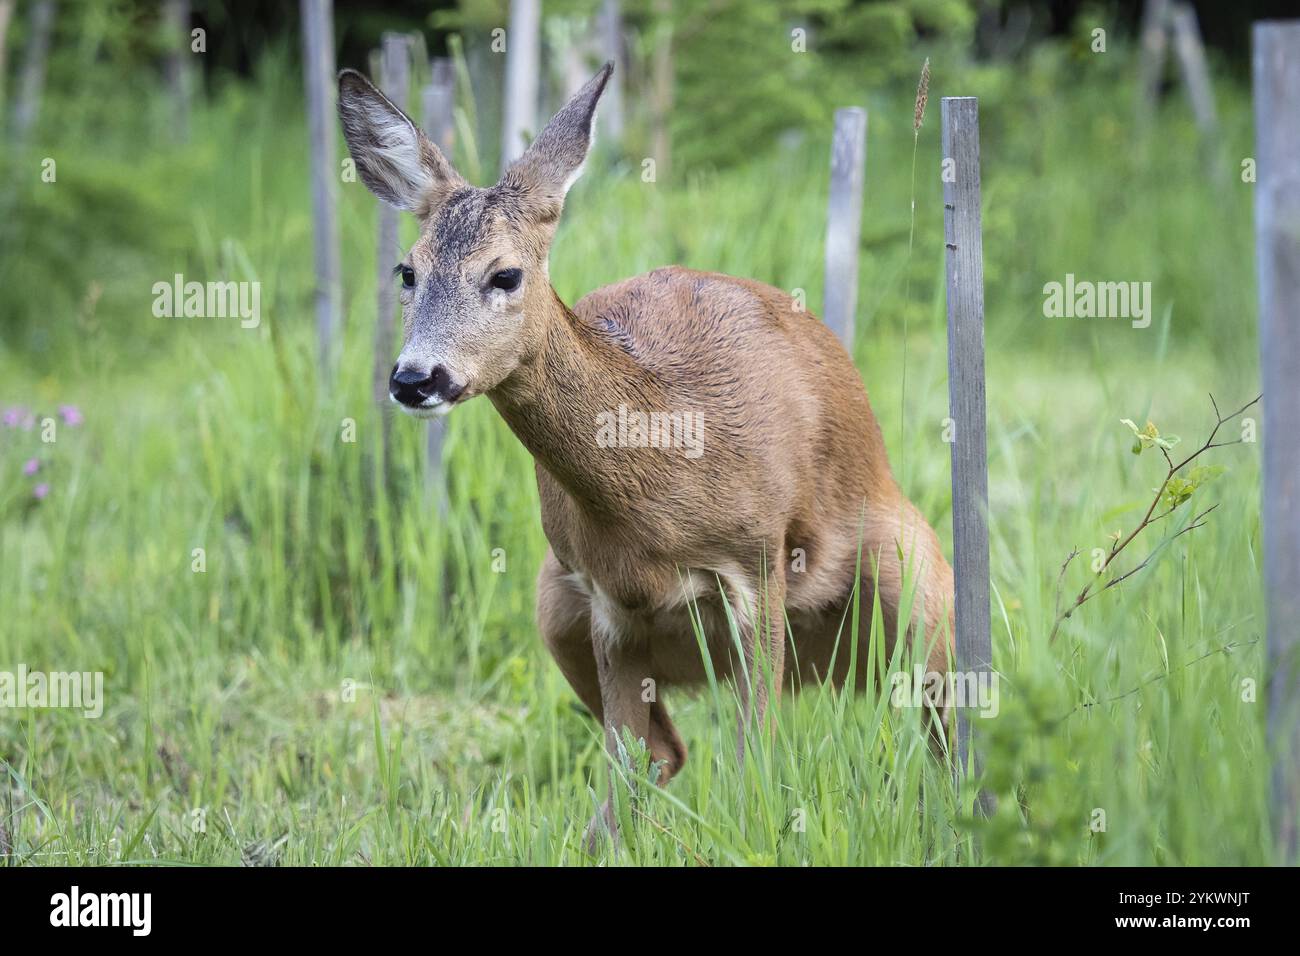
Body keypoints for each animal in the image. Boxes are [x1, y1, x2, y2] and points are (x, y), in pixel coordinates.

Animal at [337, 62, 955, 847]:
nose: (416, 378)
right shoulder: (608, 602)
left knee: (946, 718)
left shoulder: (761, 563)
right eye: (405, 271)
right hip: (552, 600)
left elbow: (754, 762)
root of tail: (829, 673)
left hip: (915, 575)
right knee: (668, 750)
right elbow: (627, 765)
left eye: (505, 275)